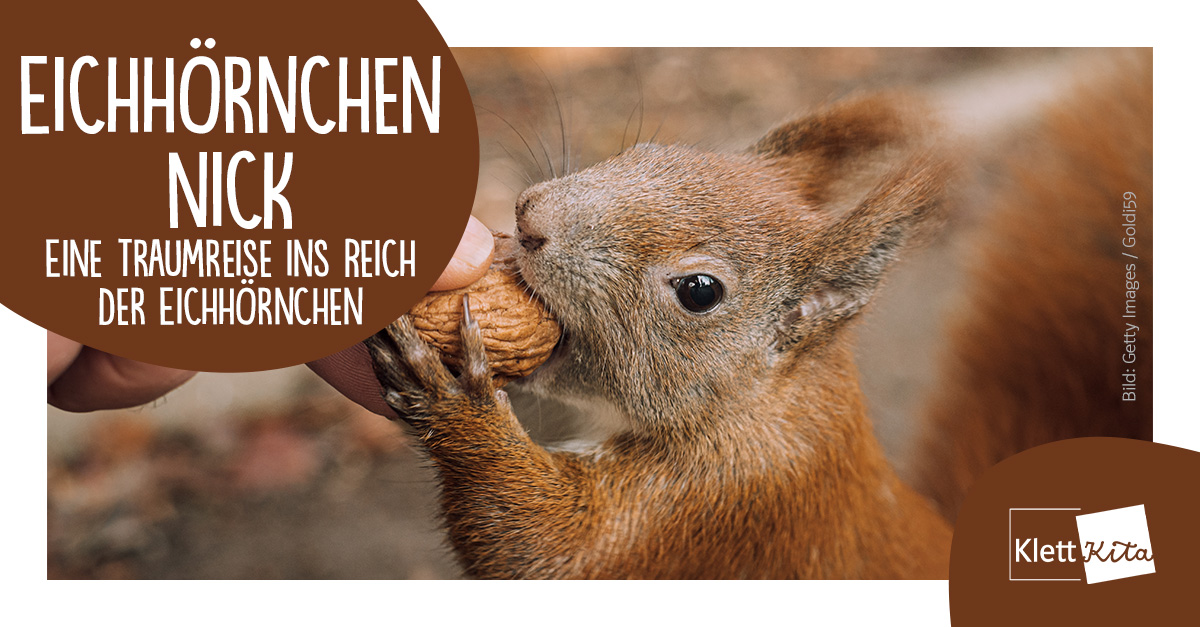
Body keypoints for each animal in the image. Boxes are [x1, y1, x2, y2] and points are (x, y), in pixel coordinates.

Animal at [366, 49, 1151, 579]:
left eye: (699, 291)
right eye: (647, 149)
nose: (530, 219)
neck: (763, 405)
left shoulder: (721, 501)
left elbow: (549, 550)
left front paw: (454, 401)